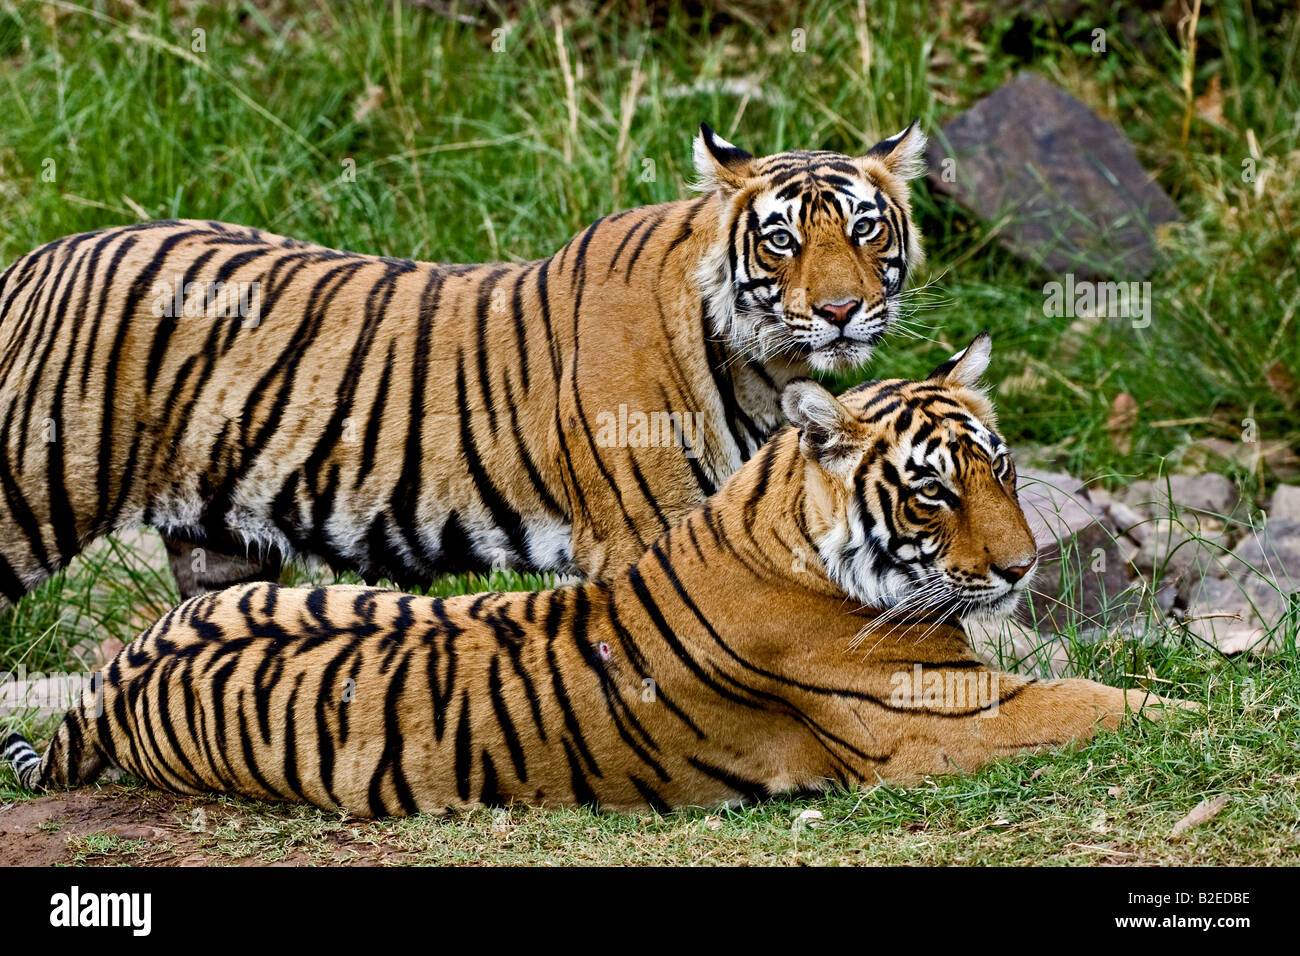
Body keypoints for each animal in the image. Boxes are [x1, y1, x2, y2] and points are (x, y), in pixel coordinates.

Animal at [0, 121, 928, 608]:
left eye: (864, 228)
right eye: (782, 241)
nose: (840, 311)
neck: (757, 363)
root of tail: (32, 261)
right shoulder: (639, 534)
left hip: (218, 539)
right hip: (27, 494)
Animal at [4, 336, 1186, 815]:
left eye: (1002, 468)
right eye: (934, 492)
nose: (1023, 565)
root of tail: (109, 688)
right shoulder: (938, 718)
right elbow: (1102, 702)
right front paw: (1195, 712)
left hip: (289, 590)